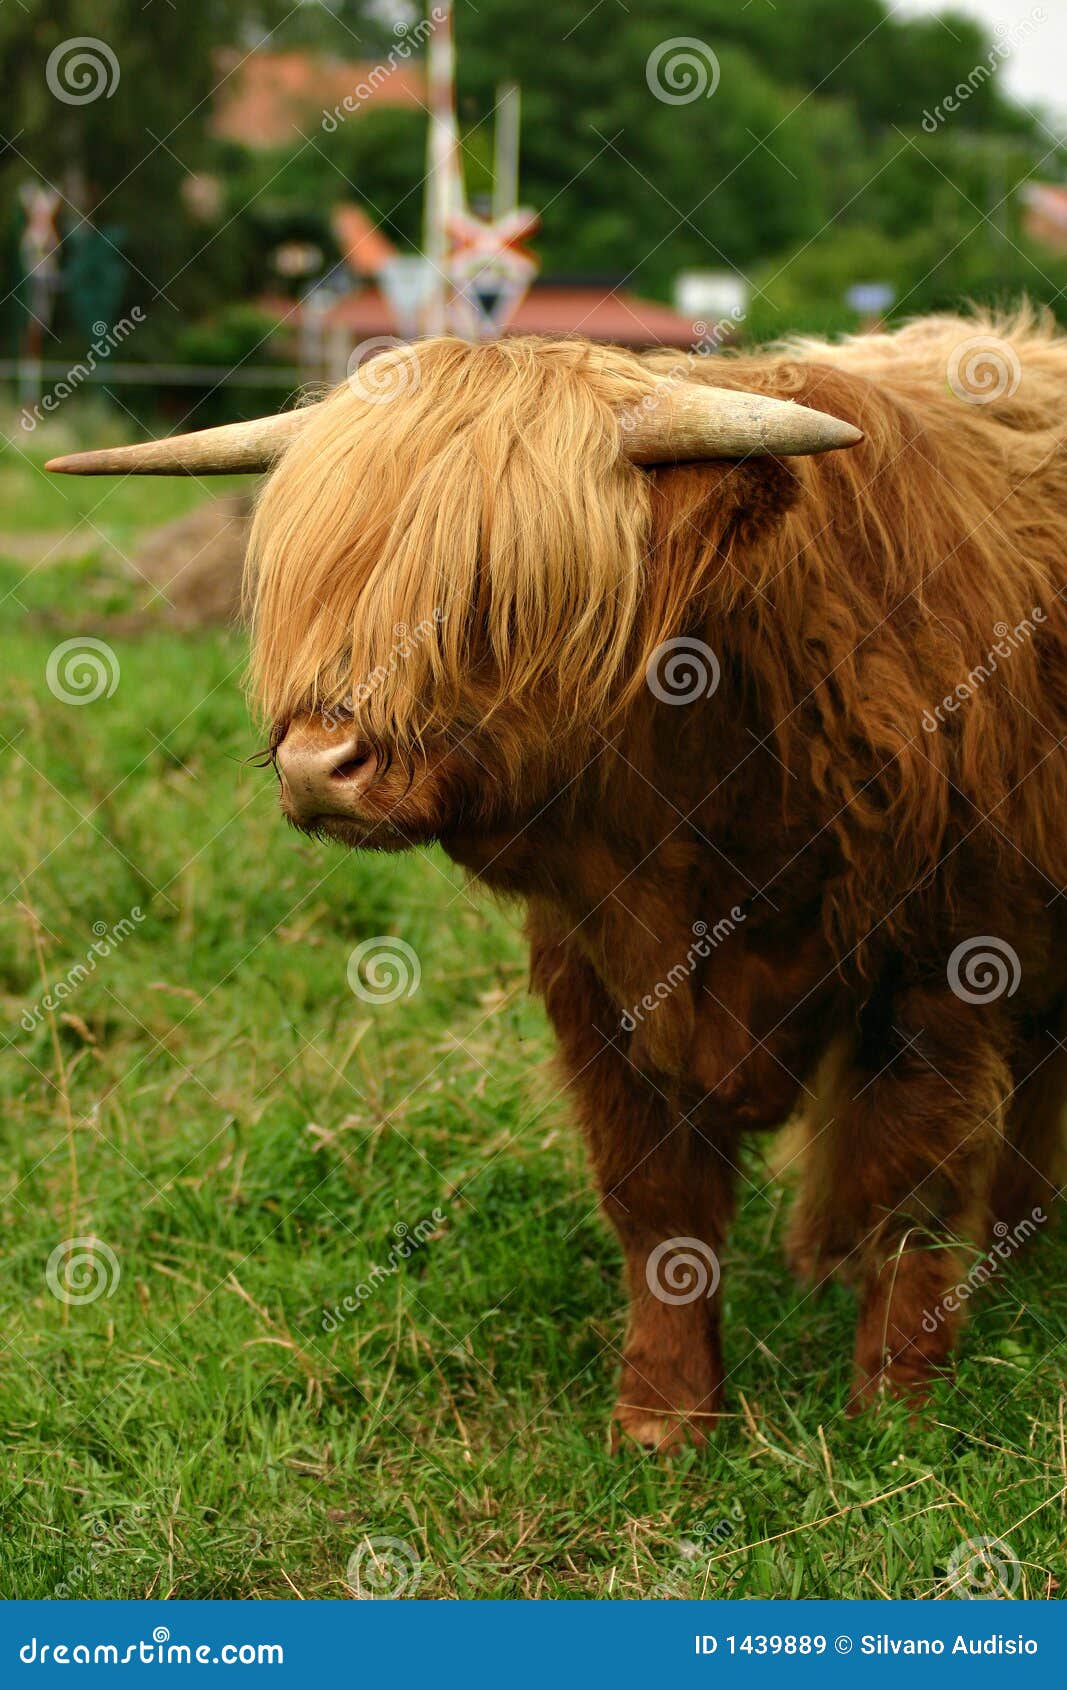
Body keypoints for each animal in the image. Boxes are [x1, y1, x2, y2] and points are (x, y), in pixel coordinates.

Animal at [49, 312, 1067, 1450]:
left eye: (499, 594)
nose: (318, 767)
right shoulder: (595, 977)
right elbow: (656, 1200)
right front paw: (661, 1418)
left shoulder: (944, 961)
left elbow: (909, 1187)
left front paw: (893, 1406)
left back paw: (1009, 1252)